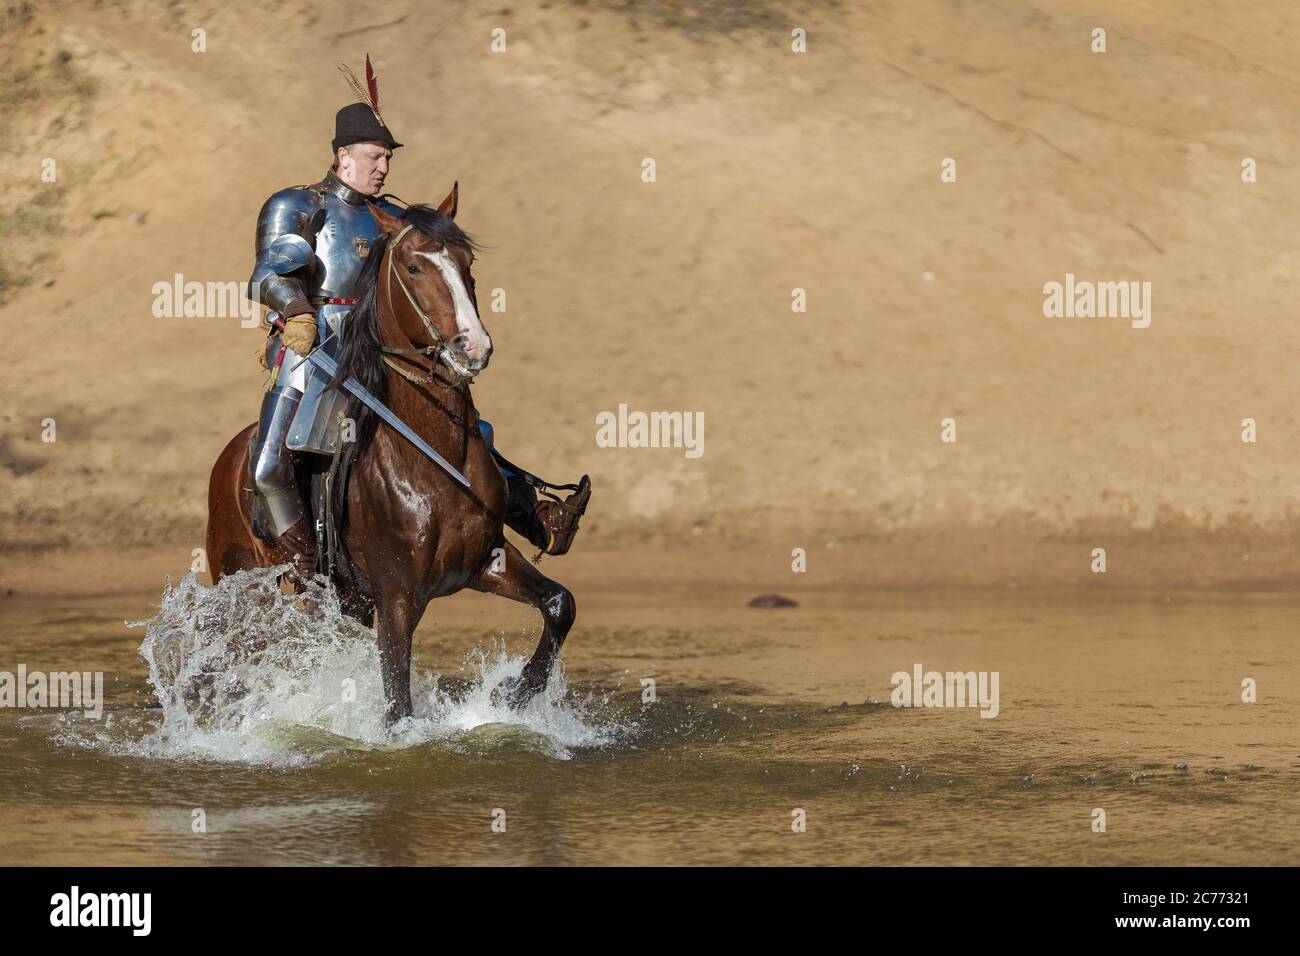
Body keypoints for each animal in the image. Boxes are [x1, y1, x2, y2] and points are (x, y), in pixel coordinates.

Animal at [205, 184, 576, 722]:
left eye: (467, 263)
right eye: (414, 267)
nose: (473, 347)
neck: (433, 456)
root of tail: (230, 458)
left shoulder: (486, 561)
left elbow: (560, 605)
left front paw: (516, 693)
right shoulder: (398, 597)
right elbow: (398, 703)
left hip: (348, 601)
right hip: (241, 579)